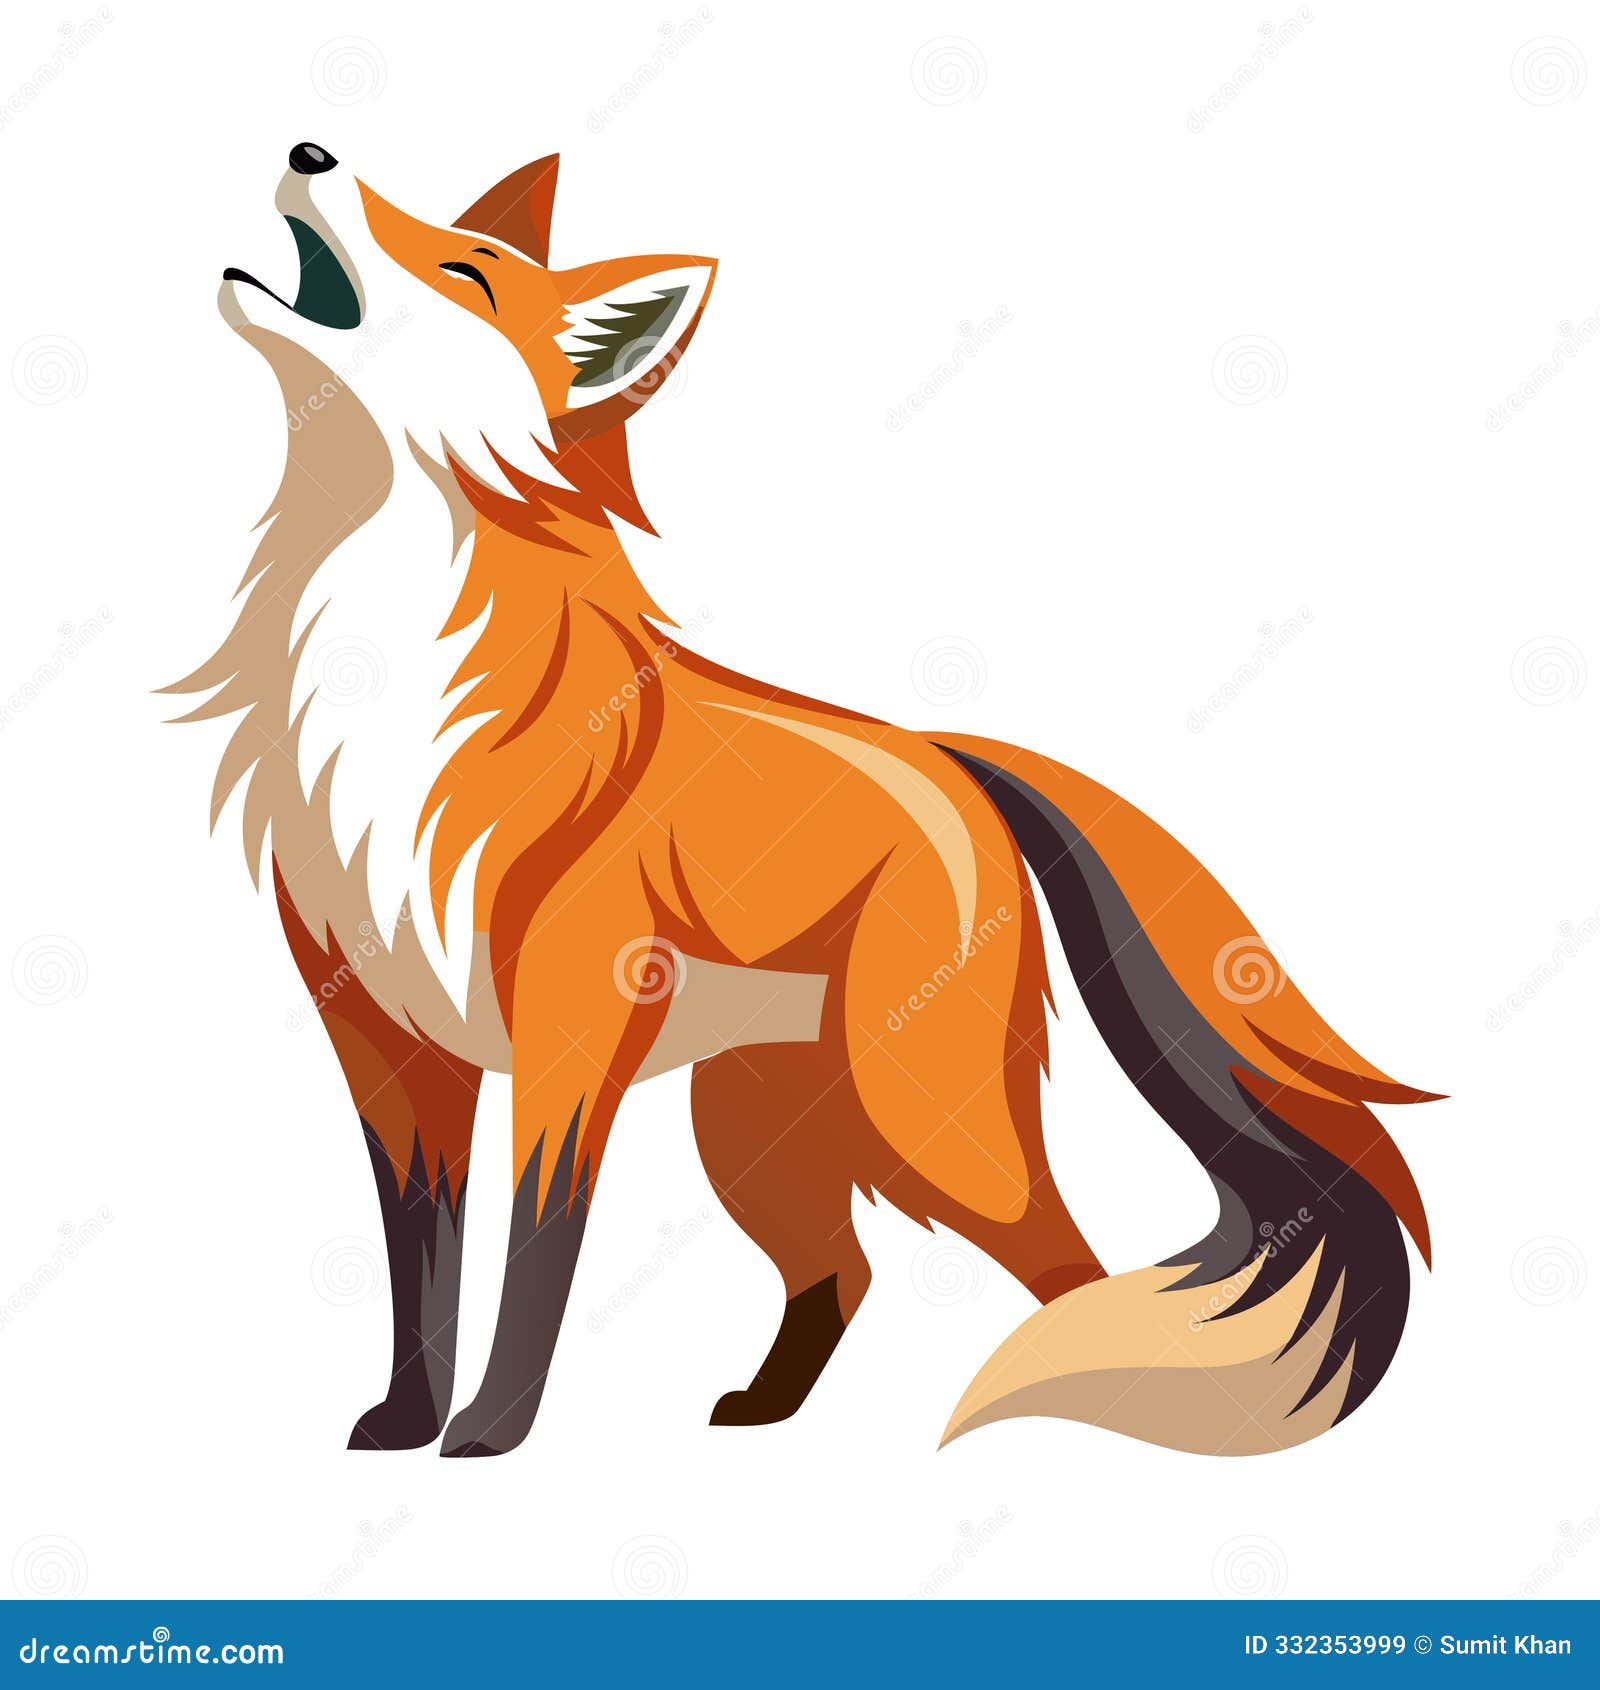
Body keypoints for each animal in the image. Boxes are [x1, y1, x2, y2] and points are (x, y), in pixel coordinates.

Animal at [167, 142, 1439, 1459]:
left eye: (467, 271)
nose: (311, 151)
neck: (387, 701)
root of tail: (949, 756)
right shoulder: (388, 1046)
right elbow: (420, 1258)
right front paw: (403, 1421)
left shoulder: (568, 1033)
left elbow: (534, 1249)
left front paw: (486, 1435)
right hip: (752, 1125)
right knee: (843, 1271)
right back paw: (763, 1410)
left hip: (926, 1119)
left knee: (1066, 1269)